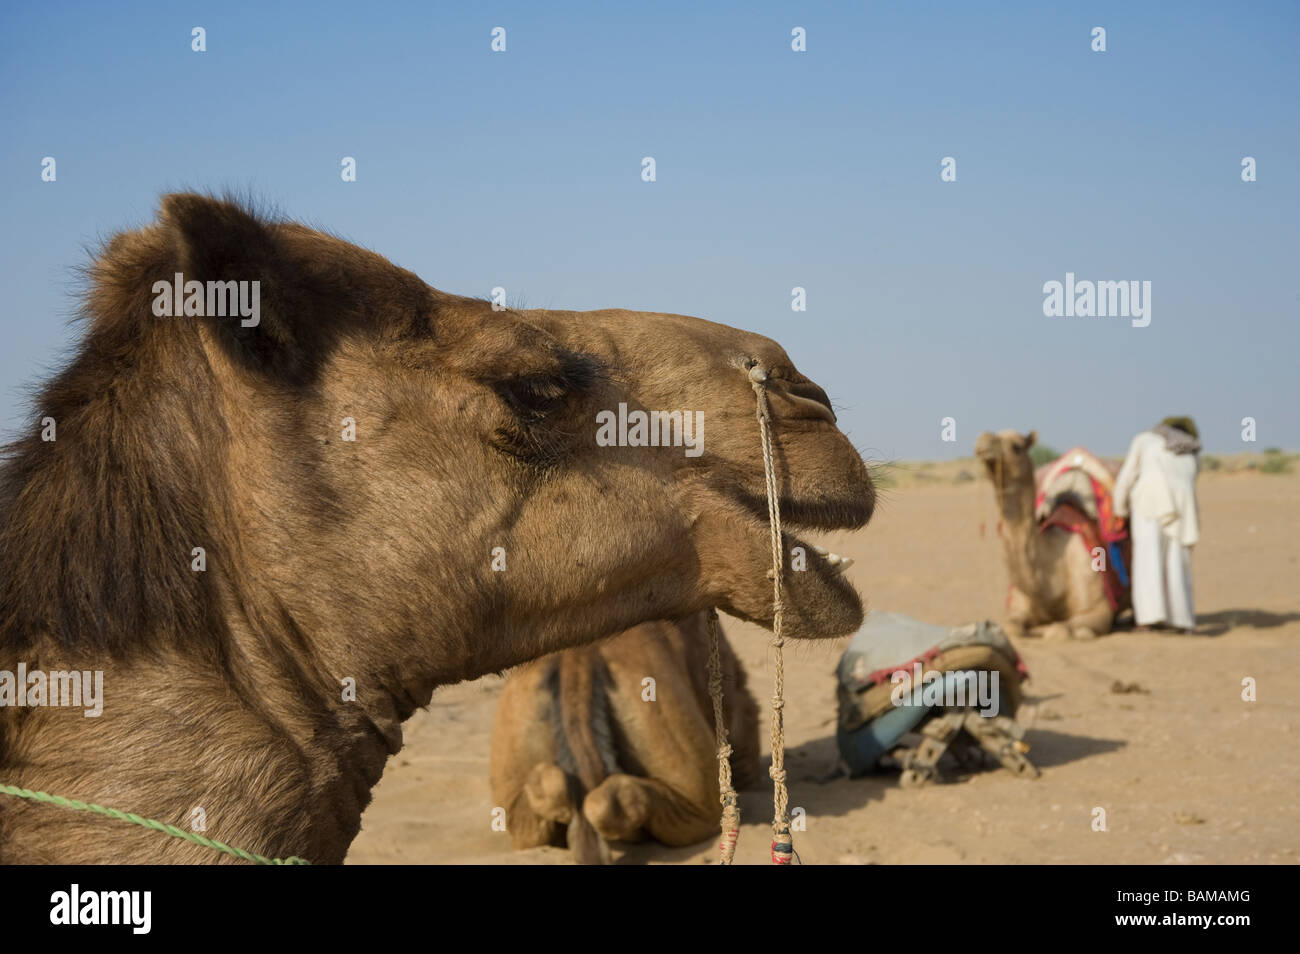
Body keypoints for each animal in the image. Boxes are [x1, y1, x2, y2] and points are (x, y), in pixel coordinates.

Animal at [974, 430, 1115, 640]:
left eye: (1016, 446)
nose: (984, 439)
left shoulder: (1100, 607)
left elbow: (1058, 630)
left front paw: (1079, 632)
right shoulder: (1018, 606)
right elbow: (1011, 627)